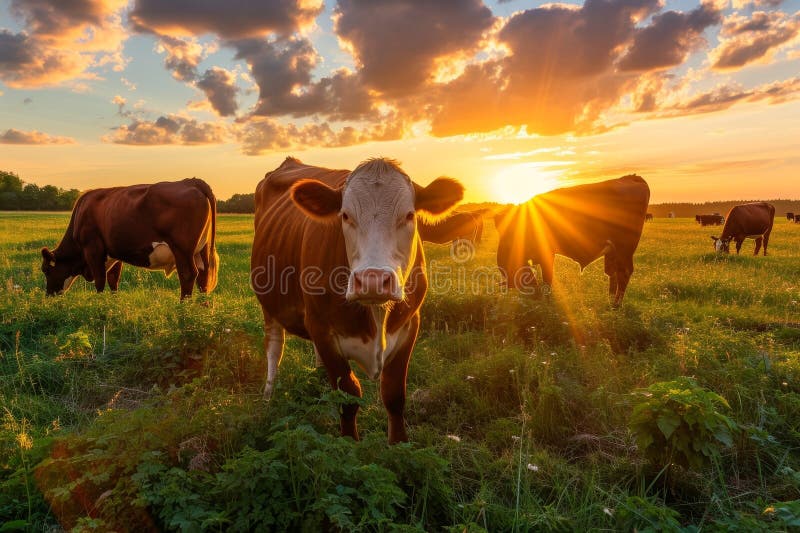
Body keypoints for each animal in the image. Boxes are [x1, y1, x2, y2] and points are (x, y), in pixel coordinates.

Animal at [41, 178, 218, 299]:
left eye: (46, 270)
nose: (48, 295)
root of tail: (191, 181)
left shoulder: (93, 248)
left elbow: (100, 280)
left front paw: (100, 304)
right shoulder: (114, 253)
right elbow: (113, 280)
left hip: (182, 250)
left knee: (188, 275)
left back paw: (184, 309)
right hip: (201, 250)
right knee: (203, 277)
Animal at [251, 157, 463, 443]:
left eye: (409, 215)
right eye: (345, 215)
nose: (373, 280)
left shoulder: (410, 325)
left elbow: (394, 395)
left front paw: (399, 444)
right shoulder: (321, 328)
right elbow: (348, 396)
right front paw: (349, 442)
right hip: (269, 305)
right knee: (274, 349)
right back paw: (268, 397)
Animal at [494, 175, 650, 307]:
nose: (535, 296)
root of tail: (631, 178)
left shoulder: (547, 254)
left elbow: (547, 279)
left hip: (625, 249)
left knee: (624, 273)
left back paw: (617, 305)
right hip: (614, 252)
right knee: (614, 273)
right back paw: (611, 302)